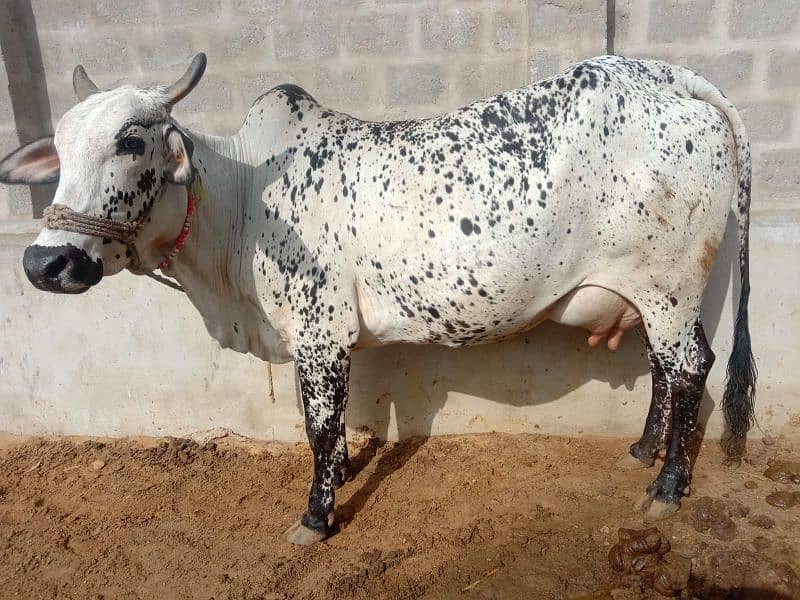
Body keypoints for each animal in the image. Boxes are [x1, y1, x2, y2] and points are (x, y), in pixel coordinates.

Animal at [0, 53, 756, 545]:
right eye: (59, 149)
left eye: (131, 140)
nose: (45, 262)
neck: (241, 204)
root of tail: (662, 77)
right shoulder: (321, 339)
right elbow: (331, 422)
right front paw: (339, 473)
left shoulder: (319, 333)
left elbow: (318, 424)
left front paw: (316, 515)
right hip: (653, 294)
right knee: (664, 368)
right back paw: (643, 450)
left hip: (668, 287)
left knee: (691, 367)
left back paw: (666, 486)